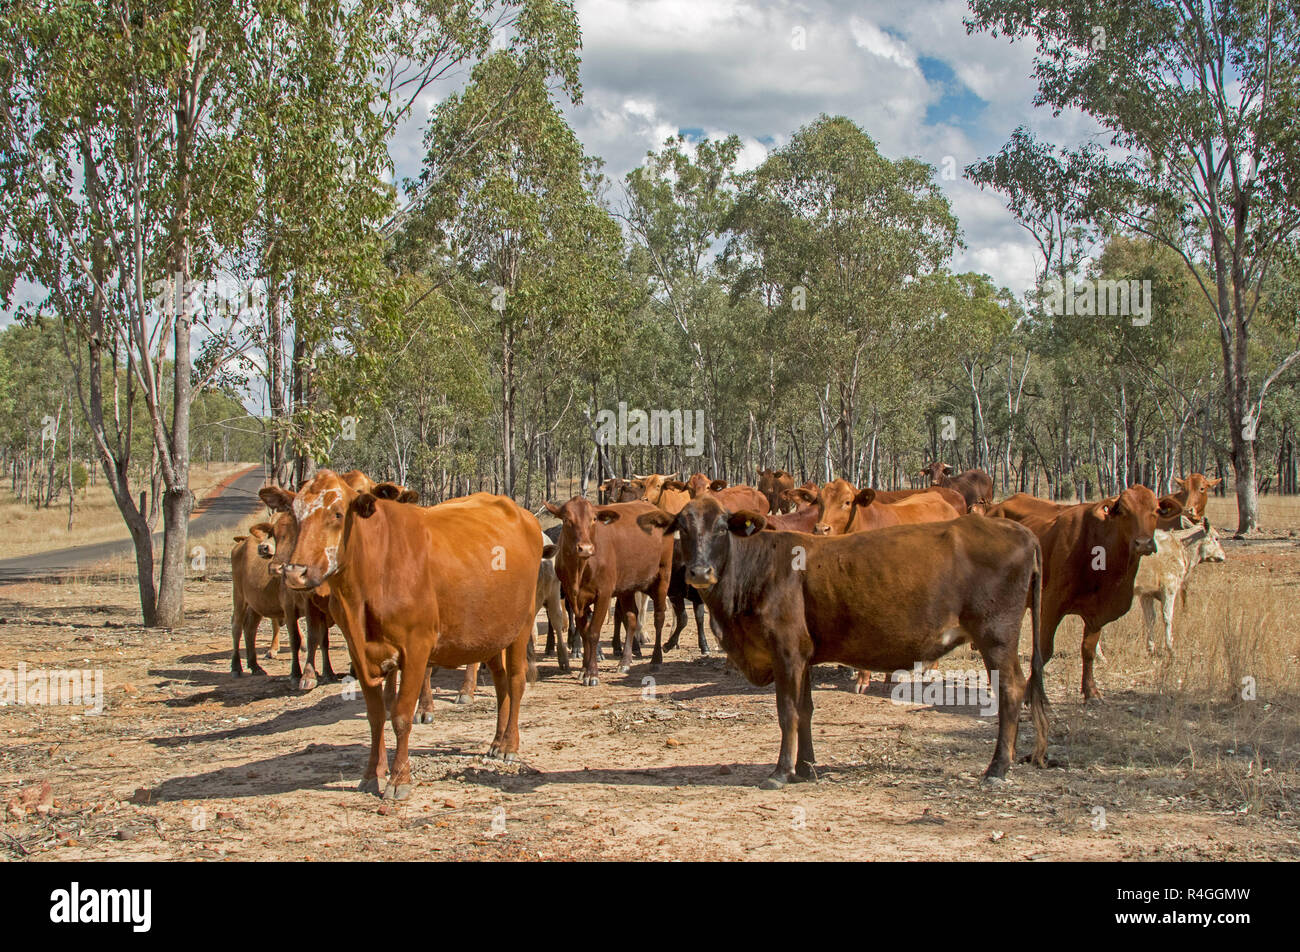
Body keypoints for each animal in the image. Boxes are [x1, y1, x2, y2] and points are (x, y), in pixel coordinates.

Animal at [261, 471, 542, 800]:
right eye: (295, 514)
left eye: (338, 513)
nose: (295, 572)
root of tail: (523, 514)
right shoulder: (360, 653)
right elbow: (376, 715)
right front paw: (372, 774)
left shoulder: (416, 649)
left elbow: (401, 715)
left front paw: (398, 779)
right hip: (491, 635)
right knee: (500, 684)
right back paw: (497, 741)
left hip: (521, 626)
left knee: (515, 681)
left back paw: (510, 745)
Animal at [545, 496, 675, 686]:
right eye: (567, 519)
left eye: (593, 519)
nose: (585, 548)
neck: (579, 570)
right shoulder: (575, 598)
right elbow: (584, 632)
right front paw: (584, 670)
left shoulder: (604, 594)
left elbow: (593, 632)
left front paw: (592, 673)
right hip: (627, 589)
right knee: (631, 618)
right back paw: (625, 661)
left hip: (662, 577)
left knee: (659, 618)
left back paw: (656, 660)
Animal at [637, 499, 1049, 785]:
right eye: (681, 528)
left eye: (723, 527)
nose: (699, 572)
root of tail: (1021, 532)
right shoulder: (803, 656)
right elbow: (805, 711)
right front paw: (806, 767)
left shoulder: (786, 651)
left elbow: (787, 711)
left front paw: (781, 771)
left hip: (997, 637)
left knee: (1012, 689)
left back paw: (997, 767)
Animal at [987, 485, 1182, 700]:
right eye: (1124, 511)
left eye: (1155, 510)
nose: (1143, 543)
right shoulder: (1051, 605)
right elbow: (1044, 651)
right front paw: (1032, 692)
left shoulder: (1097, 613)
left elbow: (1088, 650)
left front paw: (1091, 690)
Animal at [1133, 518, 1226, 654]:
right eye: (1216, 538)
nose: (1223, 556)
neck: (1181, 548)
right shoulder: (1169, 588)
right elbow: (1167, 616)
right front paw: (1170, 647)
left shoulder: (1146, 593)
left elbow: (1150, 618)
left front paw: (1151, 648)